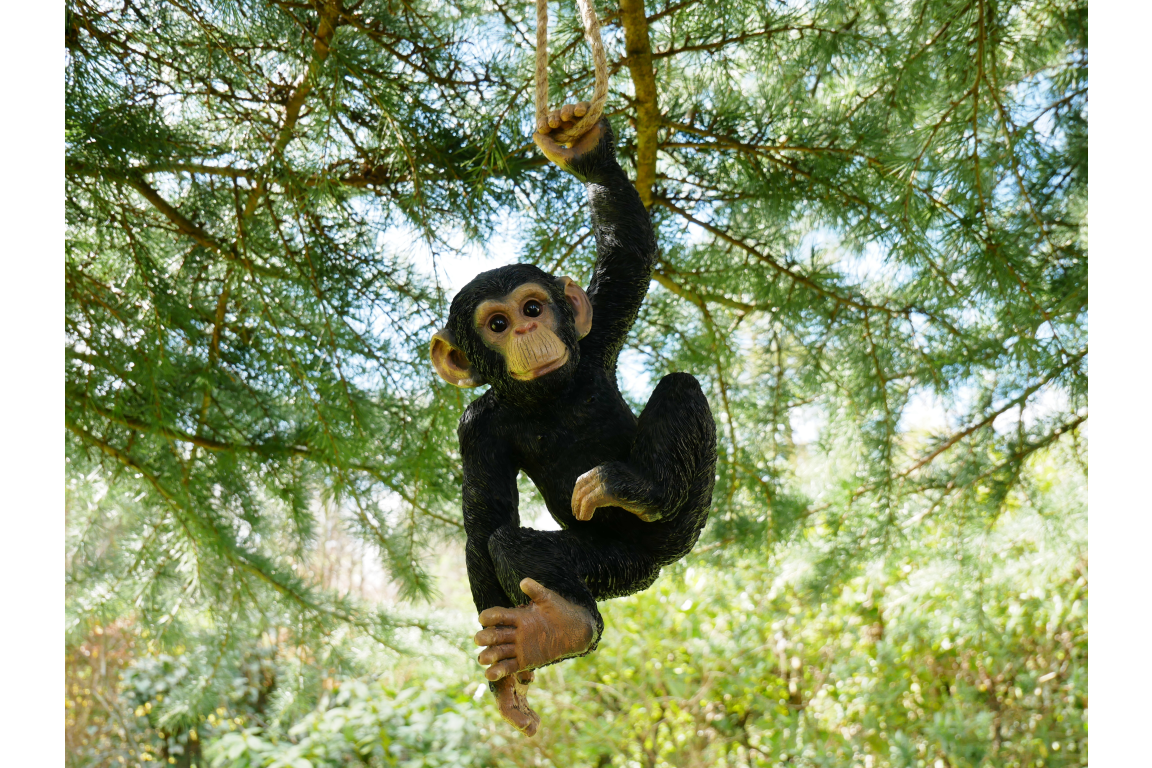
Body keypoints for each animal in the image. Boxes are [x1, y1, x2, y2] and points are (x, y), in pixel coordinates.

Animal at [429, 105, 717, 736]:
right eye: (497, 324)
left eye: (534, 307)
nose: (527, 329)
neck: (547, 398)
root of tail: (659, 563)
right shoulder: (475, 429)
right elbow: (483, 521)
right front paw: (507, 686)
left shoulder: (598, 332)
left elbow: (630, 253)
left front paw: (582, 149)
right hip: (617, 568)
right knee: (516, 544)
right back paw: (557, 628)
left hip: (682, 523)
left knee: (680, 389)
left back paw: (640, 487)